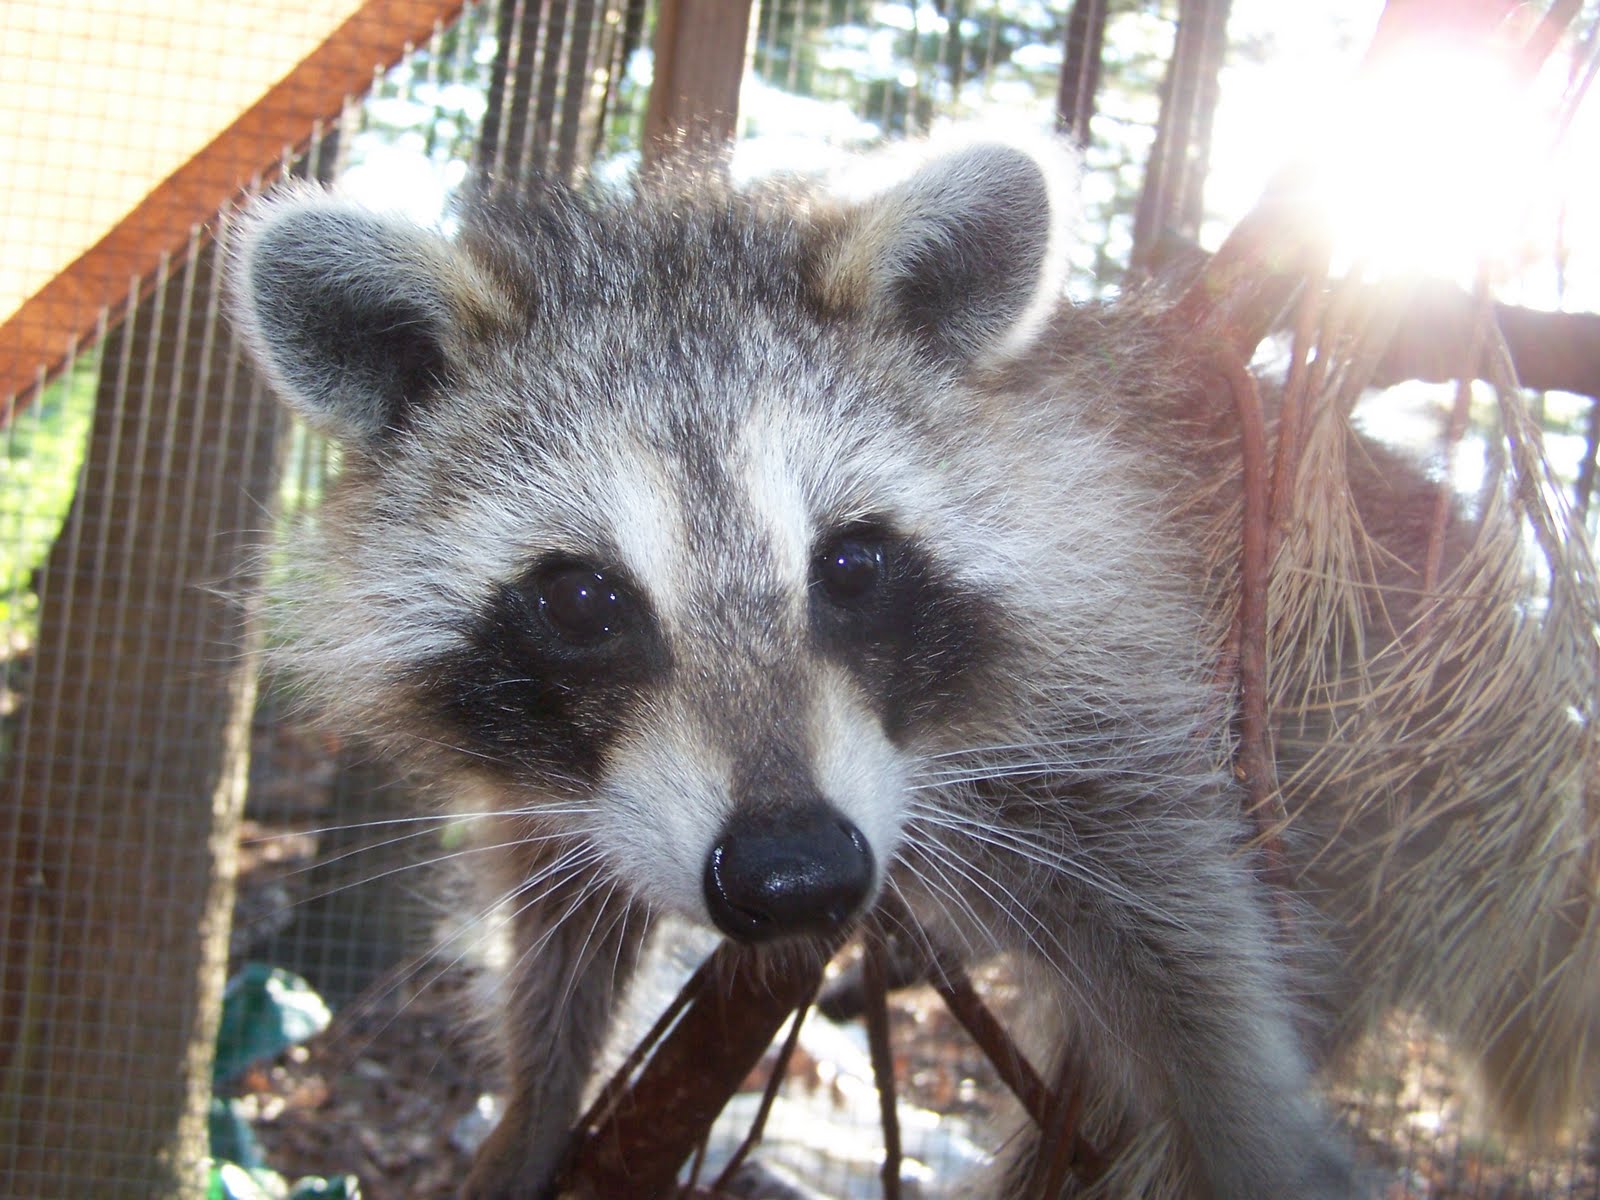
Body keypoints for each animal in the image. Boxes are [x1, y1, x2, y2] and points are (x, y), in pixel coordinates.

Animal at [226, 138, 1599, 1199]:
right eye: (580, 599)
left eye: (853, 563)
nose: (792, 873)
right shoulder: (568, 761)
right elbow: (567, 912)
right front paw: (538, 1096)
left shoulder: (1122, 688)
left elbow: (1190, 963)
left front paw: (1249, 1133)